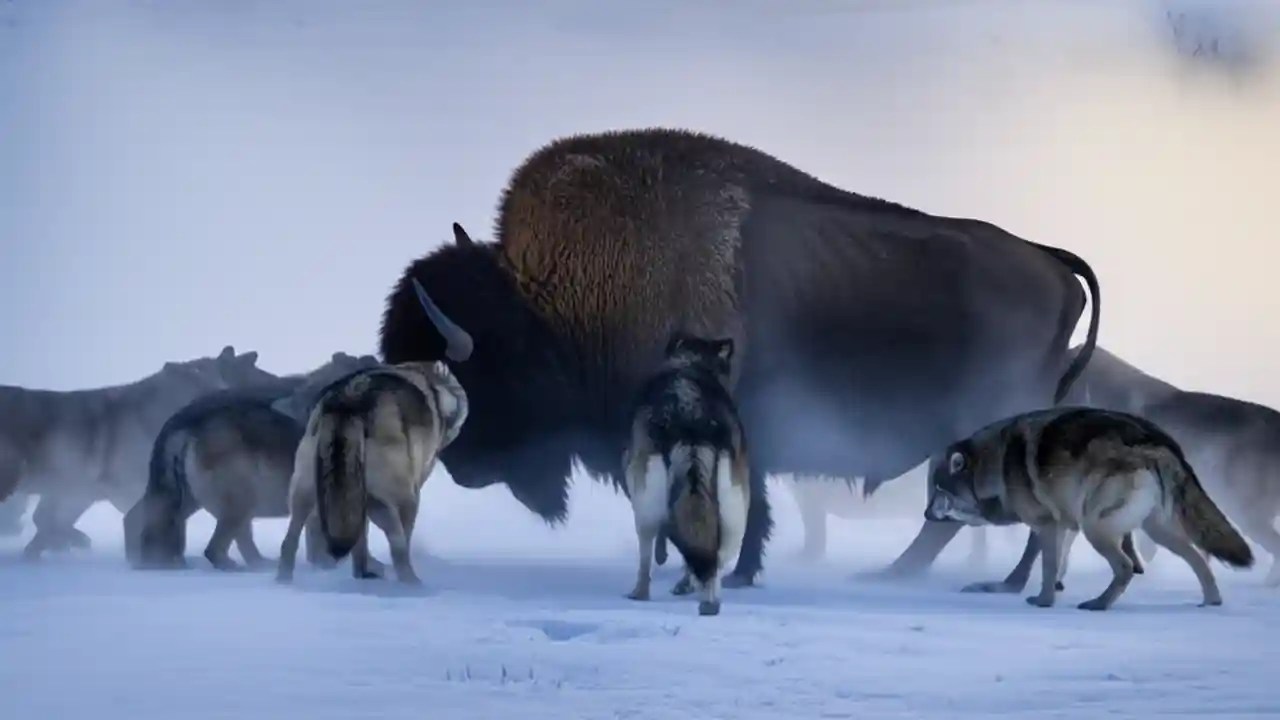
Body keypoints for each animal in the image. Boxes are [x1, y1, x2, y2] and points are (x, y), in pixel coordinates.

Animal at [276, 360, 468, 585]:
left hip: (306, 491)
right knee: (399, 546)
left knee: (290, 539)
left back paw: (285, 580)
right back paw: (411, 584)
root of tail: (350, 402)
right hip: (404, 498)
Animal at [623, 332, 750, 616]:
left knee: (646, 549)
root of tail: (692, 417)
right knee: (715, 556)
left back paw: (640, 593)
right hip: (735, 507)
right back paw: (708, 601)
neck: (691, 362)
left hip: (646, 499)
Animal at [926, 407, 1254, 610]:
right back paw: (1211, 601)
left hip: (1096, 528)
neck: (994, 467)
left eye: (939, 492)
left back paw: (1098, 604)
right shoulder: (1064, 526)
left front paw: (1043, 601)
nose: (927, 514)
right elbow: (1056, 565)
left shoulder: (1047, 524)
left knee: (1125, 567)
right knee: (1198, 559)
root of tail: (1155, 444)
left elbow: (1047, 567)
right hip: (1155, 531)